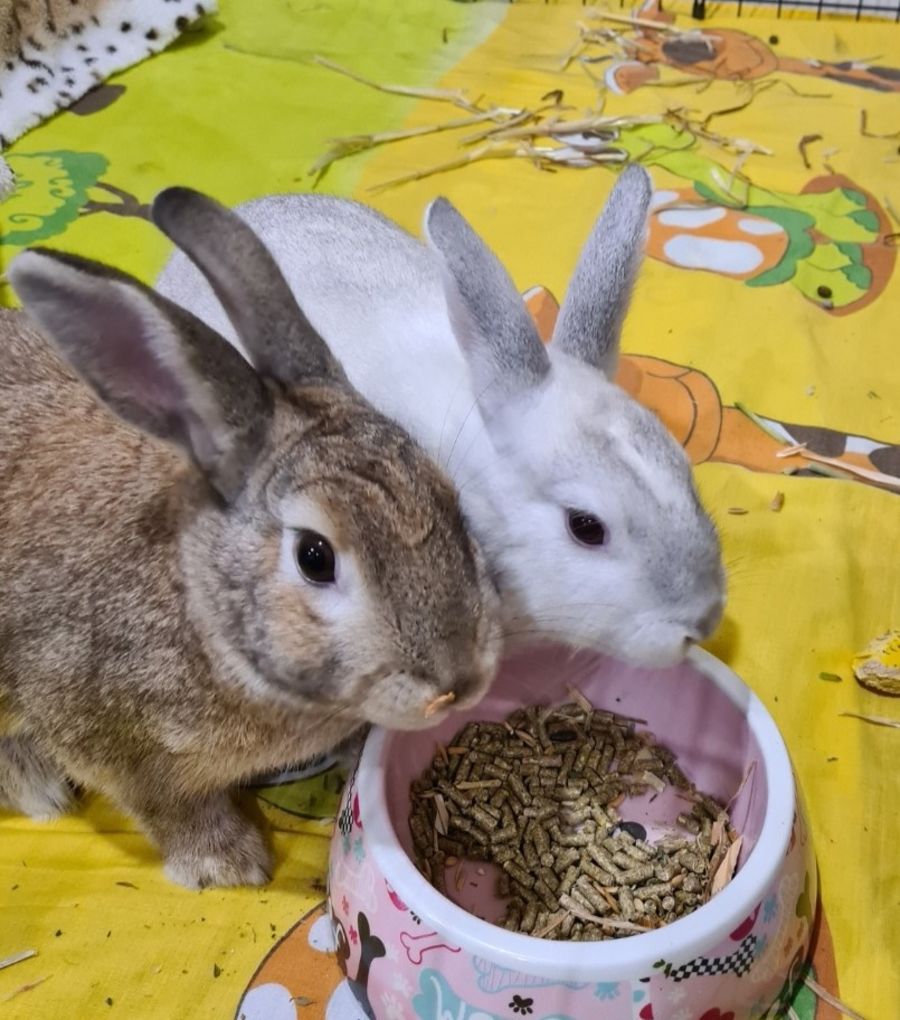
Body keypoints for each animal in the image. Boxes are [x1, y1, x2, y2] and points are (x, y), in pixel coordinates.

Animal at [0, 186, 502, 889]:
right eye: (314, 557)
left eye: (448, 497)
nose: (459, 682)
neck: (203, 609)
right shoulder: (102, 732)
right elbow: (167, 808)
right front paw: (228, 864)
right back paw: (35, 784)